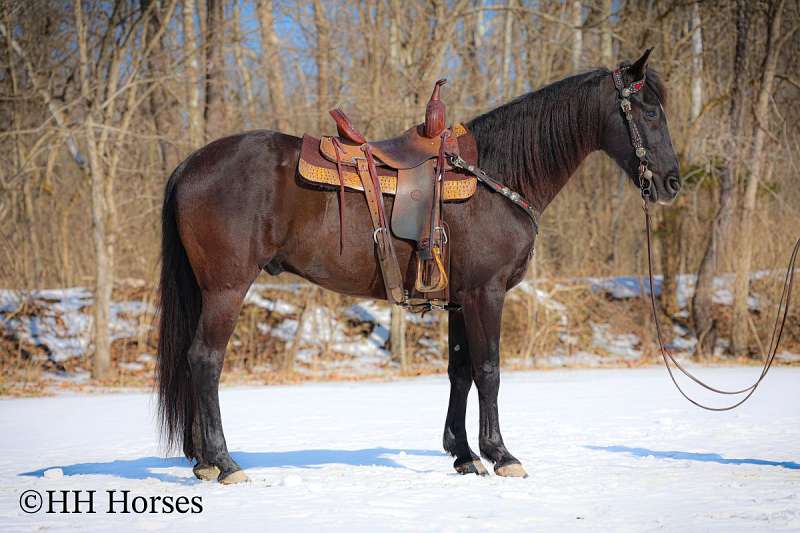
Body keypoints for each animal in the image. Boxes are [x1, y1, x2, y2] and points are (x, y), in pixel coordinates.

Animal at [156, 49, 680, 484]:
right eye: (649, 110)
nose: (672, 183)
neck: (497, 176)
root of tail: (188, 165)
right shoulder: (486, 293)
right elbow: (489, 370)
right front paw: (501, 455)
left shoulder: (459, 301)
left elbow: (460, 372)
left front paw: (464, 455)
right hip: (227, 288)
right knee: (205, 360)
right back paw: (224, 463)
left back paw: (204, 462)